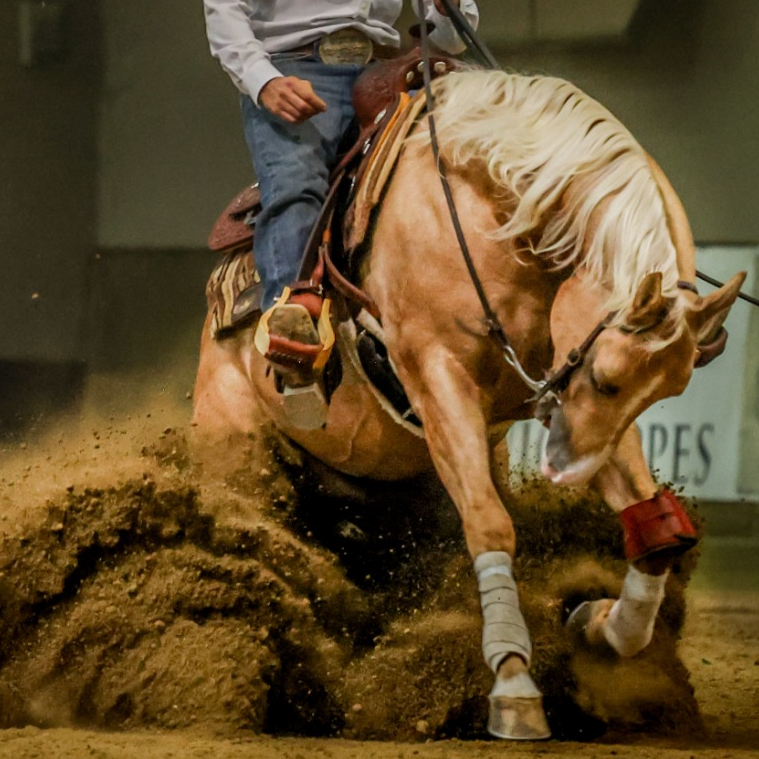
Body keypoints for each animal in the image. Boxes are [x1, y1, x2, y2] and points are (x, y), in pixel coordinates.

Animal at [192, 68, 745, 740]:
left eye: (668, 389)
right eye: (607, 377)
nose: (566, 472)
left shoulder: (562, 401)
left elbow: (656, 529)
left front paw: (598, 625)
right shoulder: (441, 378)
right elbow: (489, 522)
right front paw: (513, 684)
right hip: (228, 441)